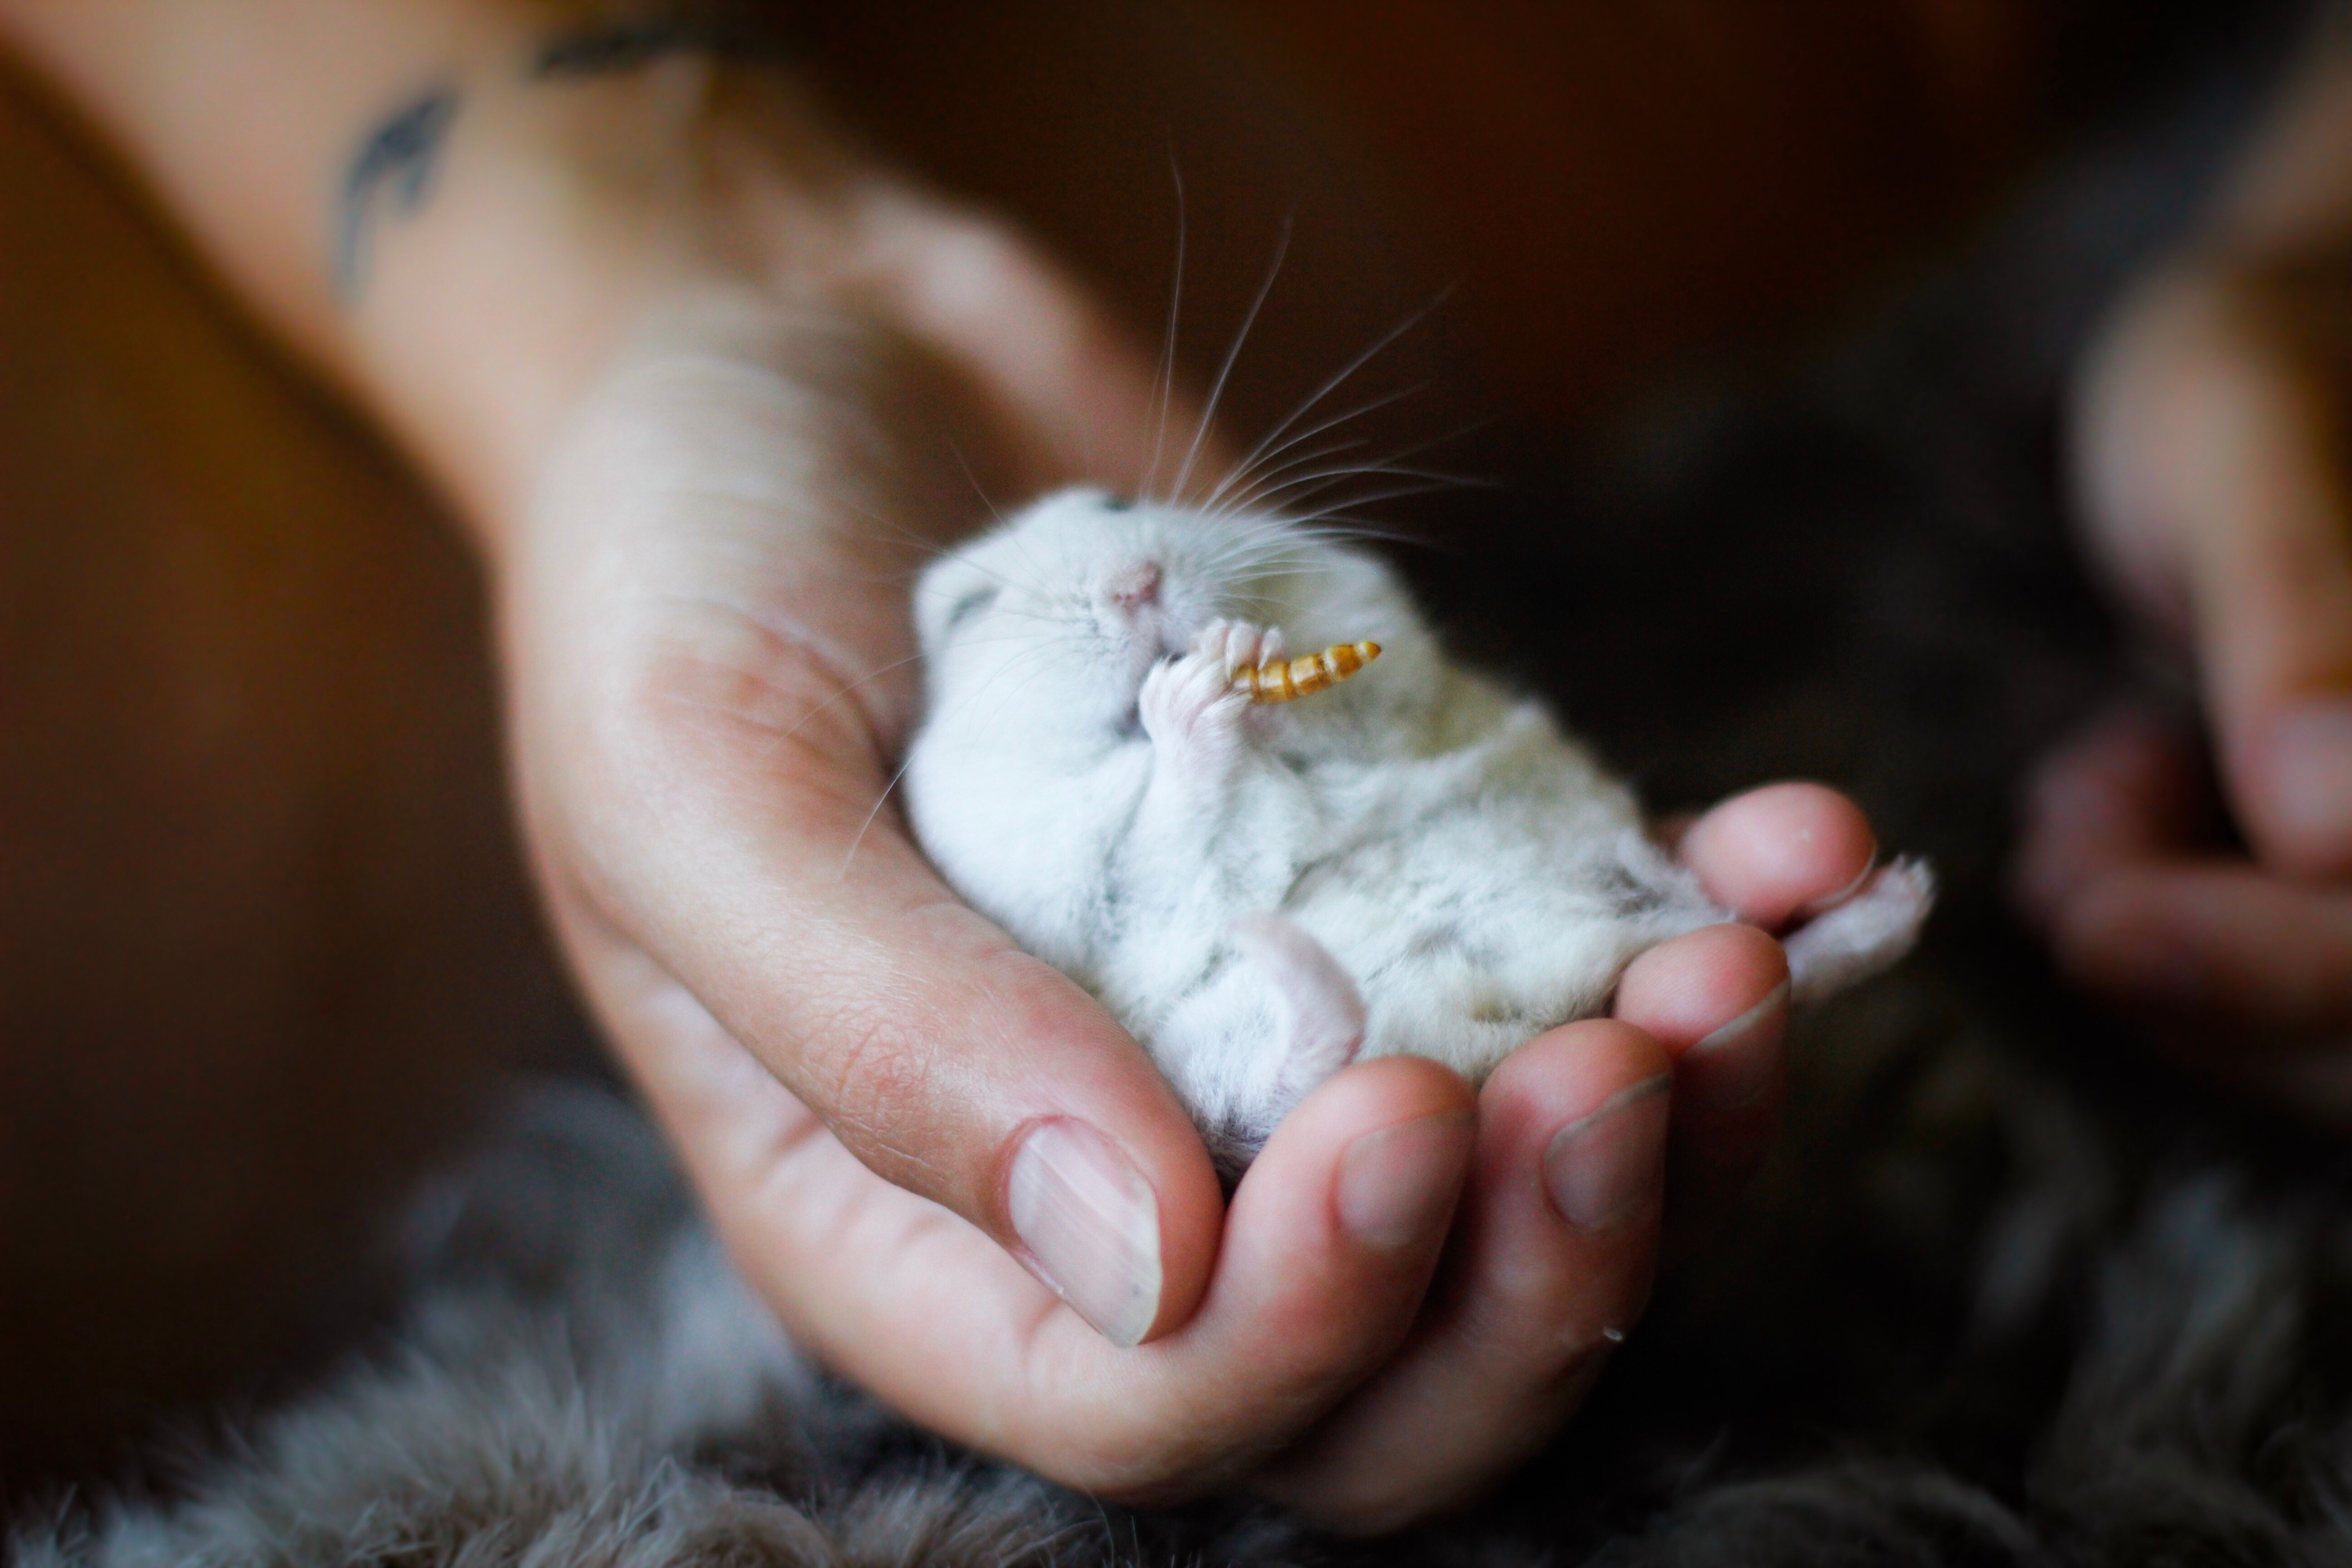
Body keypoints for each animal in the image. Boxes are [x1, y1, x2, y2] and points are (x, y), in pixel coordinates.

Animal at [903, 488, 1931, 1168]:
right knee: (1291, 1076)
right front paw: (1193, 696)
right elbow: (1174, 846)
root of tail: (1513, 1032)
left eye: (1119, 501)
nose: (1136, 583)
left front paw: (1248, 652)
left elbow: (1345, 717)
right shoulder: (1093, 909)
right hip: (1218, 1066)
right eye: (970, 609)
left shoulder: (1391, 675)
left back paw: (1901, 895)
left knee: (1775, 961)